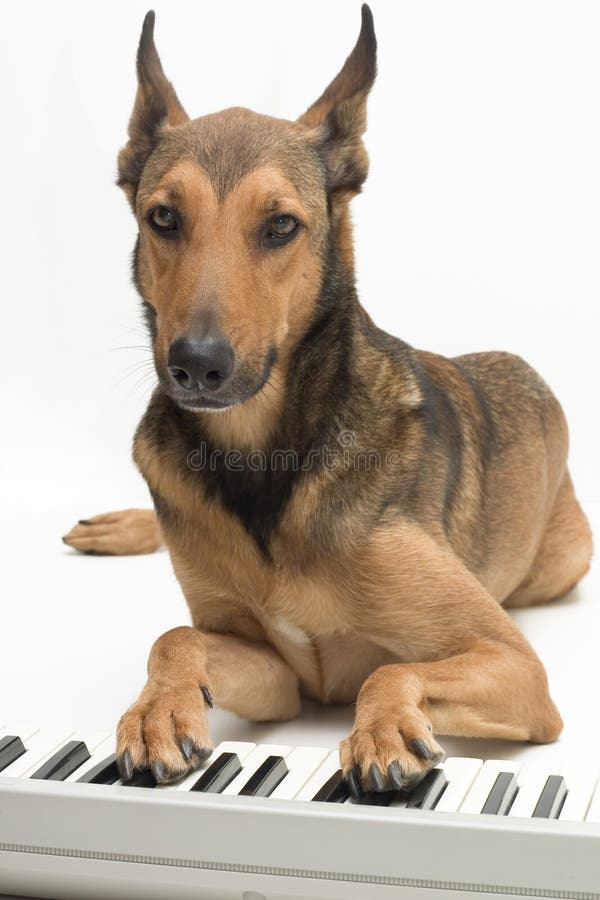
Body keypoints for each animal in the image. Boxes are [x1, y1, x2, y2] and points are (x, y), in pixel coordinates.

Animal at [63, 5, 592, 796]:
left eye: (281, 224)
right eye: (163, 217)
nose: (195, 367)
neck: (267, 458)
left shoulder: (515, 662)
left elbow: (389, 670)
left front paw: (383, 730)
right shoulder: (280, 676)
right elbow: (176, 634)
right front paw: (159, 710)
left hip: (560, 567)